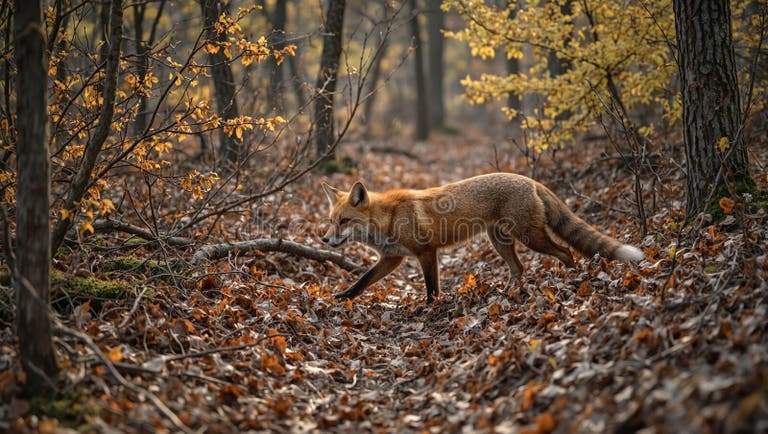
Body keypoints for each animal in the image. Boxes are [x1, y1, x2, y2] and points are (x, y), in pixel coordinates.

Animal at [321, 173, 644, 304]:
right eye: (331, 221)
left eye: (344, 221)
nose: (324, 240)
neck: (388, 219)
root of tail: (529, 179)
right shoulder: (392, 258)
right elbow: (362, 281)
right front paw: (342, 298)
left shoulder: (426, 253)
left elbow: (432, 289)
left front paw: (429, 309)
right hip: (500, 241)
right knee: (519, 268)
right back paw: (509, 293)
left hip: (530, 237)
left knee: (566, 251)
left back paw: (572, 279)